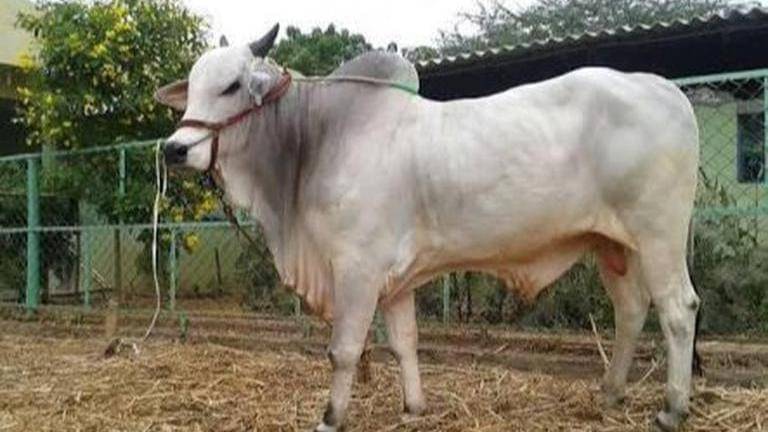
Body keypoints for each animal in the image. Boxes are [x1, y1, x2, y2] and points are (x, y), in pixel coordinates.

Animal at [156, 24, 701, 432]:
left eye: (231, 85)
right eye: (192, 87)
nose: (174, 149)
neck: (318, 139)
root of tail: (663, 88)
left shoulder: (356, 267)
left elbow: (344, 350)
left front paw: (331, 417)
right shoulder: (396, 280)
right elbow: (404, 342)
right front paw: (414, 406)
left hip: (659, 236)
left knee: (679, 309)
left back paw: (672, 409)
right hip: (613, 245)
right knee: (631, 310)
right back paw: (609, 393)